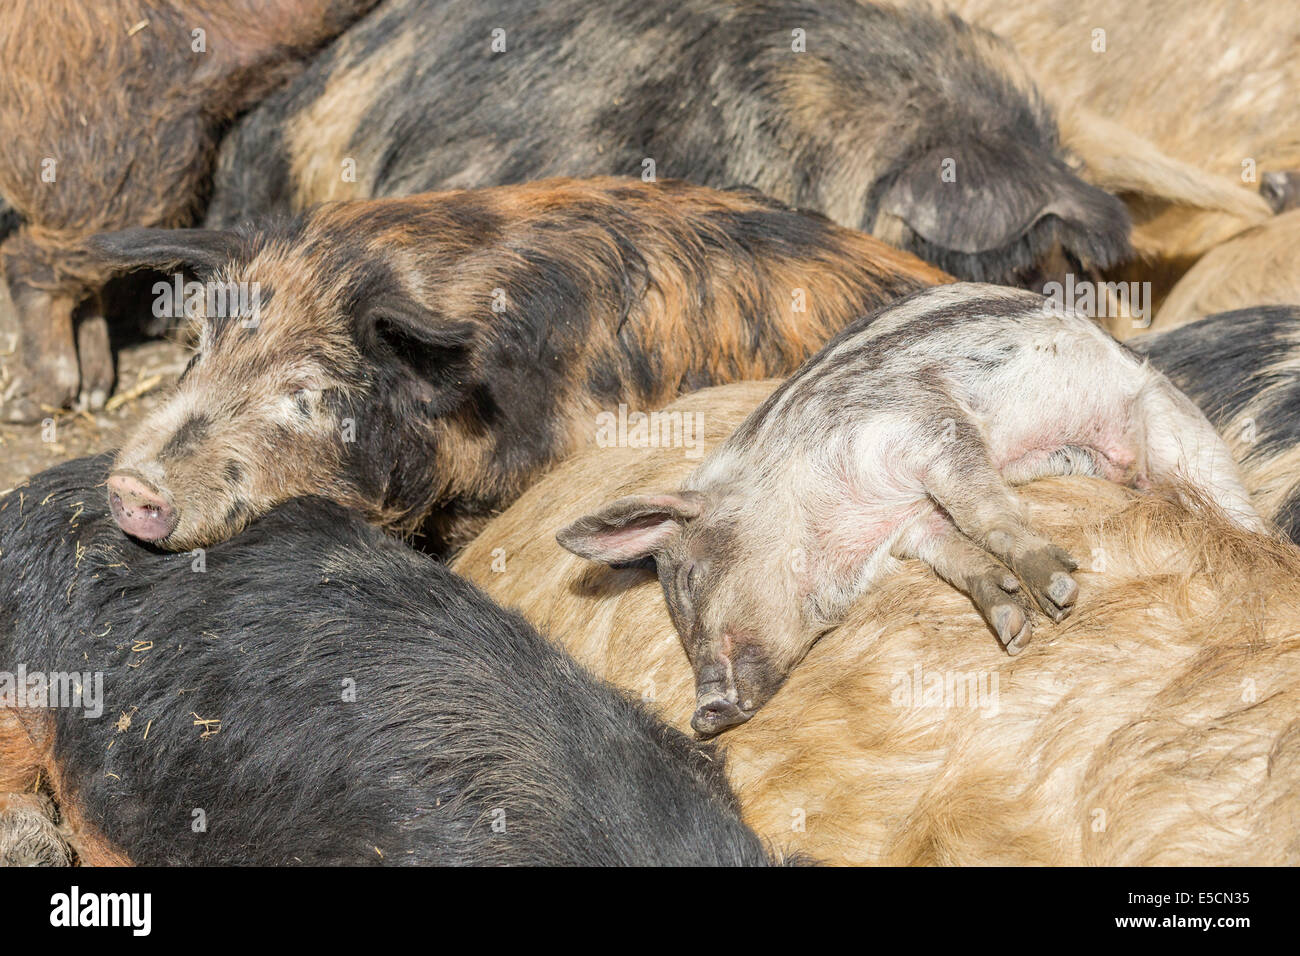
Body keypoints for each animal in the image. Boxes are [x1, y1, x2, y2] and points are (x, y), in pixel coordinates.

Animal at [557, 283, 1261, 734]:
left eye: (690, 581)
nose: (703, 714)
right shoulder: (911, 527)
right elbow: (956, 554)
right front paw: (1013, 626)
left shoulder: (927, 426)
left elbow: (984, 511)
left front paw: (1058, 595)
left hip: (1185, 436)